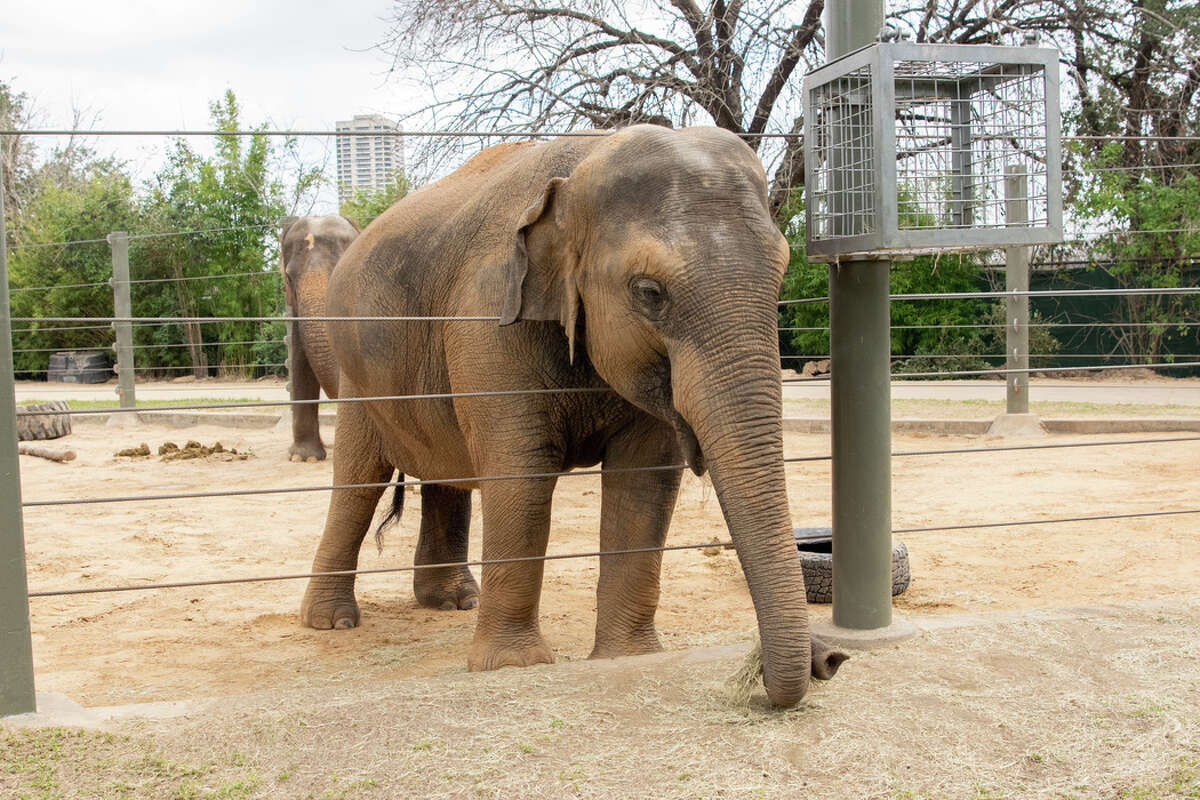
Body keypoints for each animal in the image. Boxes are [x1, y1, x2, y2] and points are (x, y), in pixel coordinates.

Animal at [299, 124, 846, 707]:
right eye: (649, 292)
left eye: (782, 273)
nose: (829, 659)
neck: (585, 162)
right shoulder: (489, 318)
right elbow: (522, 475)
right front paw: (512, 667)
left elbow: (645, 481)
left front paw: (628, 658)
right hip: (357, 376)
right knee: (360, 481)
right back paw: (332, 621)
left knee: (446, 473)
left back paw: (454, 602)